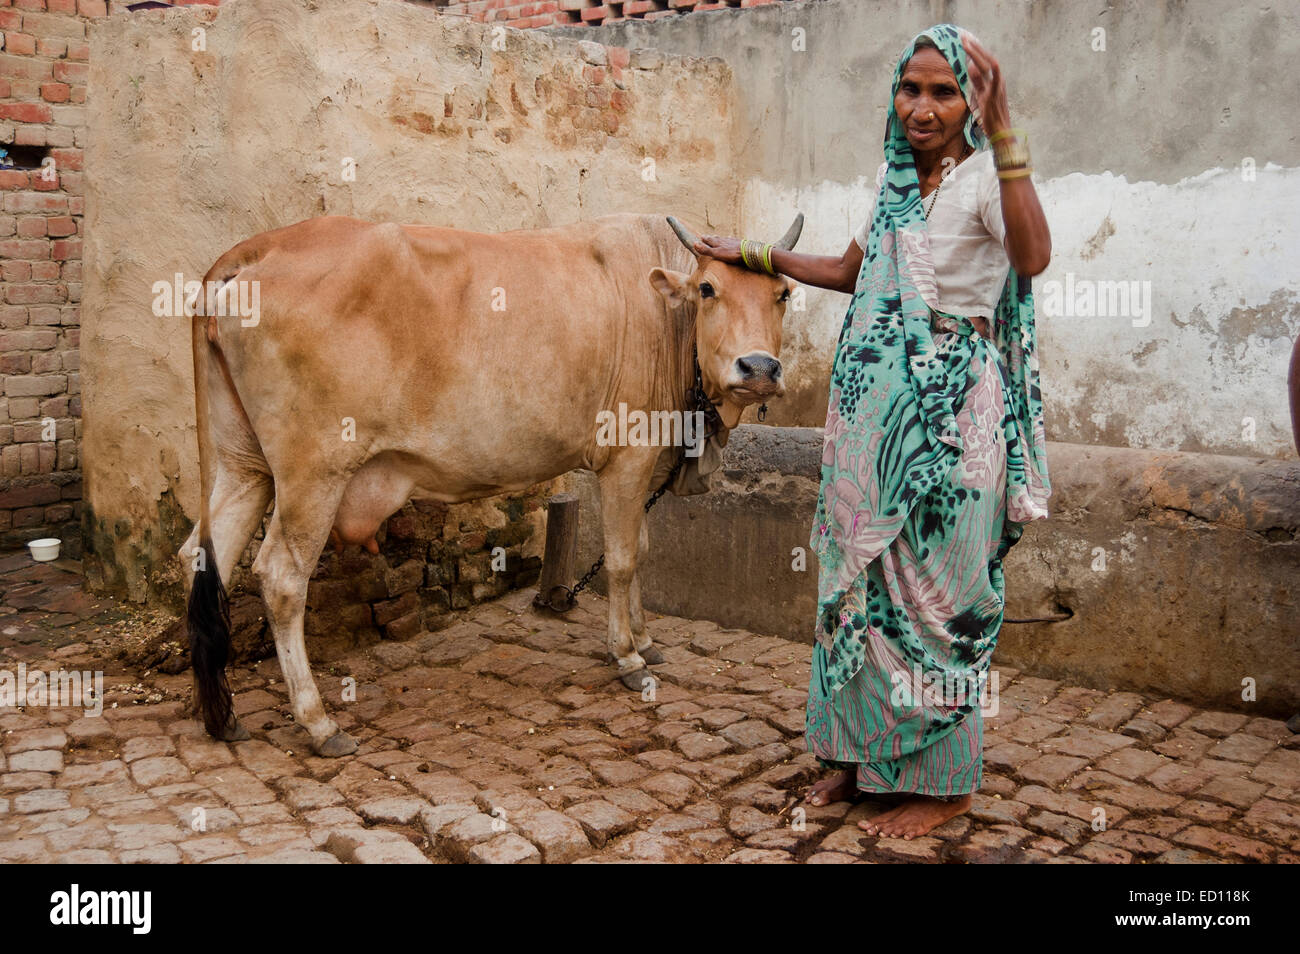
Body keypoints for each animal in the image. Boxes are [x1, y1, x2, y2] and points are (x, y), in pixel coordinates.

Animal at [181, 211, 802, 756]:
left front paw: (646, 639)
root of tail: (259, 247)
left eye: (784, 294)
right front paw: (627, 655)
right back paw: (317, 721)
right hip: (314, 471)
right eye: (708, 289)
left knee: (203, 556)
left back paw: (215, 712)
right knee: (281, 577)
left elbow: (642, 549)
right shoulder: (628, 457)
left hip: (243, 466)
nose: (759, 368)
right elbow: (624, 558)